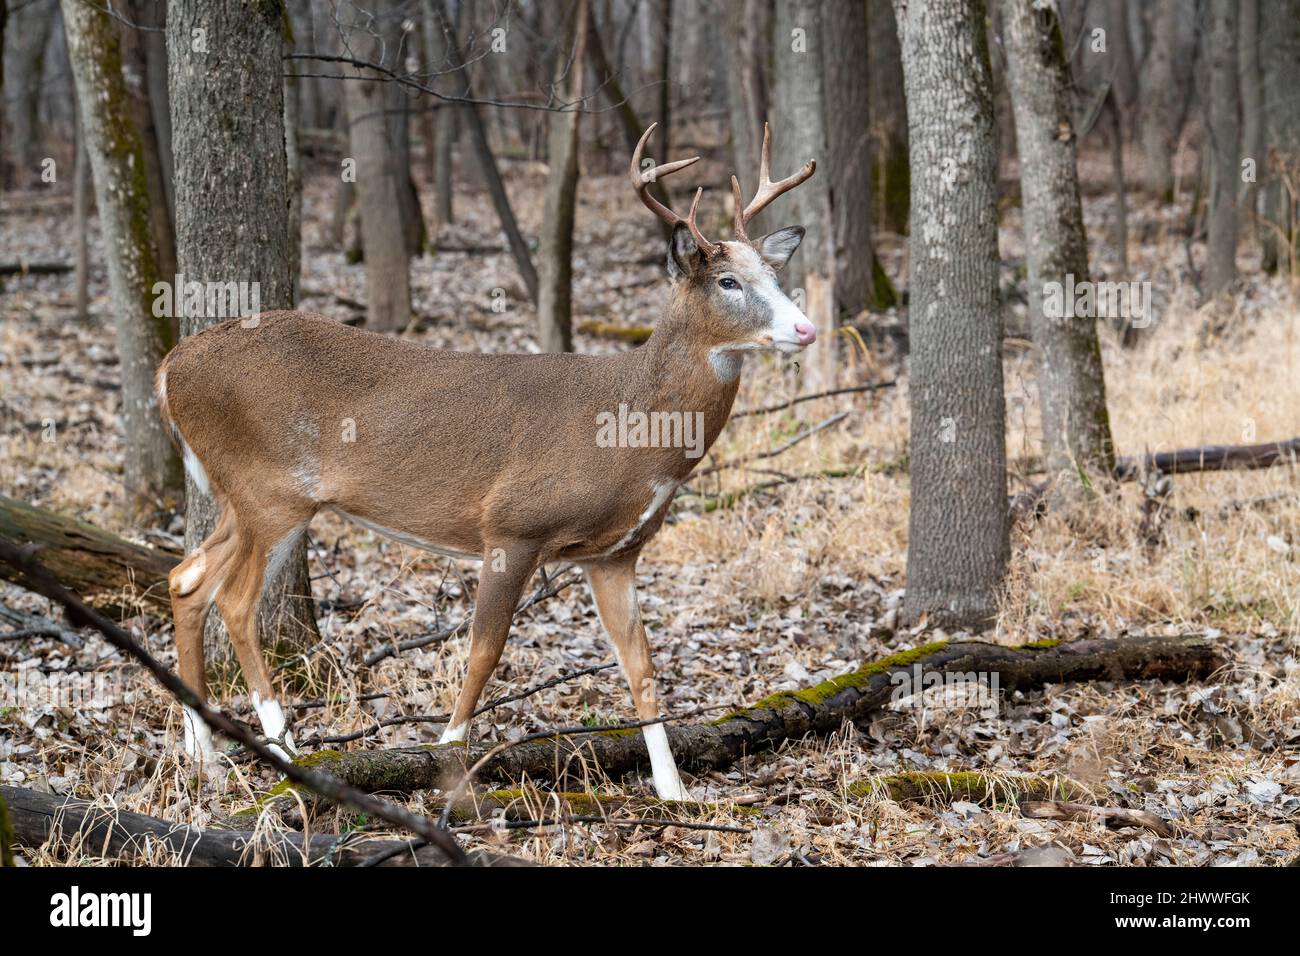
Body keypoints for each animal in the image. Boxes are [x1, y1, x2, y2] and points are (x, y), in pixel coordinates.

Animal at [156, 123, 816, 800]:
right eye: (728, 283)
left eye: (774, 273)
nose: (806, 328)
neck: (631, 434)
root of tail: (170, 368)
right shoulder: (512, 526)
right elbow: (484, 651)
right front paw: (447, 756)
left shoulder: (614, 554)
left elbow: (642, 667)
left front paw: (673, 791)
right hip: (271, 491)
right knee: (235, 602)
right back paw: (284, 749)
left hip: (244, 496)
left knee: (186, 580)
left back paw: (205, 757)